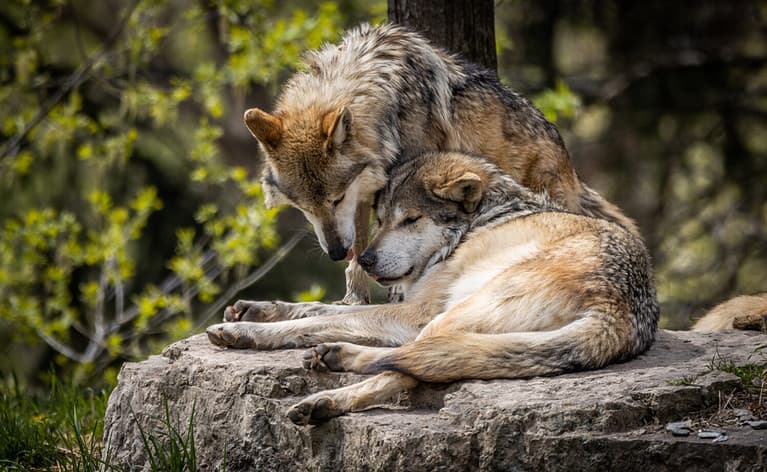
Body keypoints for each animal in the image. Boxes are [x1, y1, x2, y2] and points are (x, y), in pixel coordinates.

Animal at [206, 152, 659, 425]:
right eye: (382, 219)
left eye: (411, 220)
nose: (364, 260)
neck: (475, 225)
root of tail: (622, 312)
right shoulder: (408, 303)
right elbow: (319, 310)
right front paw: (253, 309)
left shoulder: (415, 311)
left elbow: (317, 321)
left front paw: (244, 331)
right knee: (415, 363)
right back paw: (329, 376)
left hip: (445, 318)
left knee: (406, 367)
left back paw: (325, 390)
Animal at [243, 23, 637, 304]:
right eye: (304, 207)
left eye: (336, 198)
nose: (336, 253)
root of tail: (570, 164)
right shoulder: (366, 197)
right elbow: (365, 245)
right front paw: (354, 297)